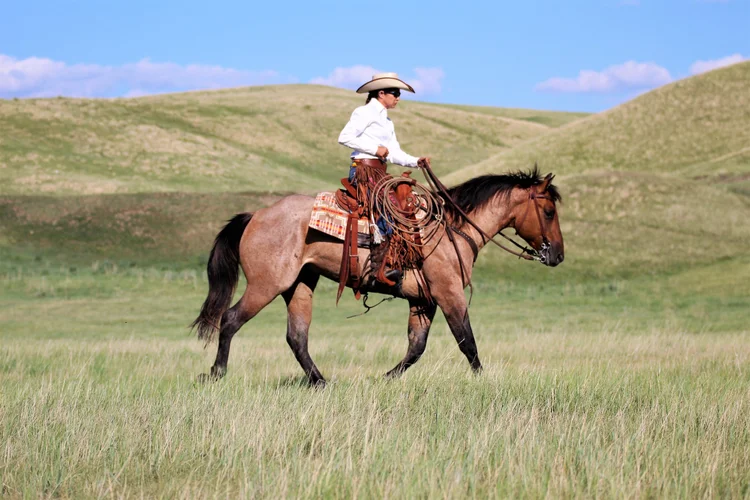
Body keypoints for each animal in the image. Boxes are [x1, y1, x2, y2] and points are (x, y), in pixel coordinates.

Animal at [192, 167, 564, 386]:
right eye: (548, 211)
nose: (558, 255)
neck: (451, 231)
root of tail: (256, 215)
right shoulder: (449, 294)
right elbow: (466, 340)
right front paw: (483, 380)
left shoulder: (423, 301)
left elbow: (417, 347)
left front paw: (386, 378)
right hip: (266, 285)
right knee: (230, 319)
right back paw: (216, 373)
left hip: (299, 285)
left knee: (296, 336)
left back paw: (321, 381)